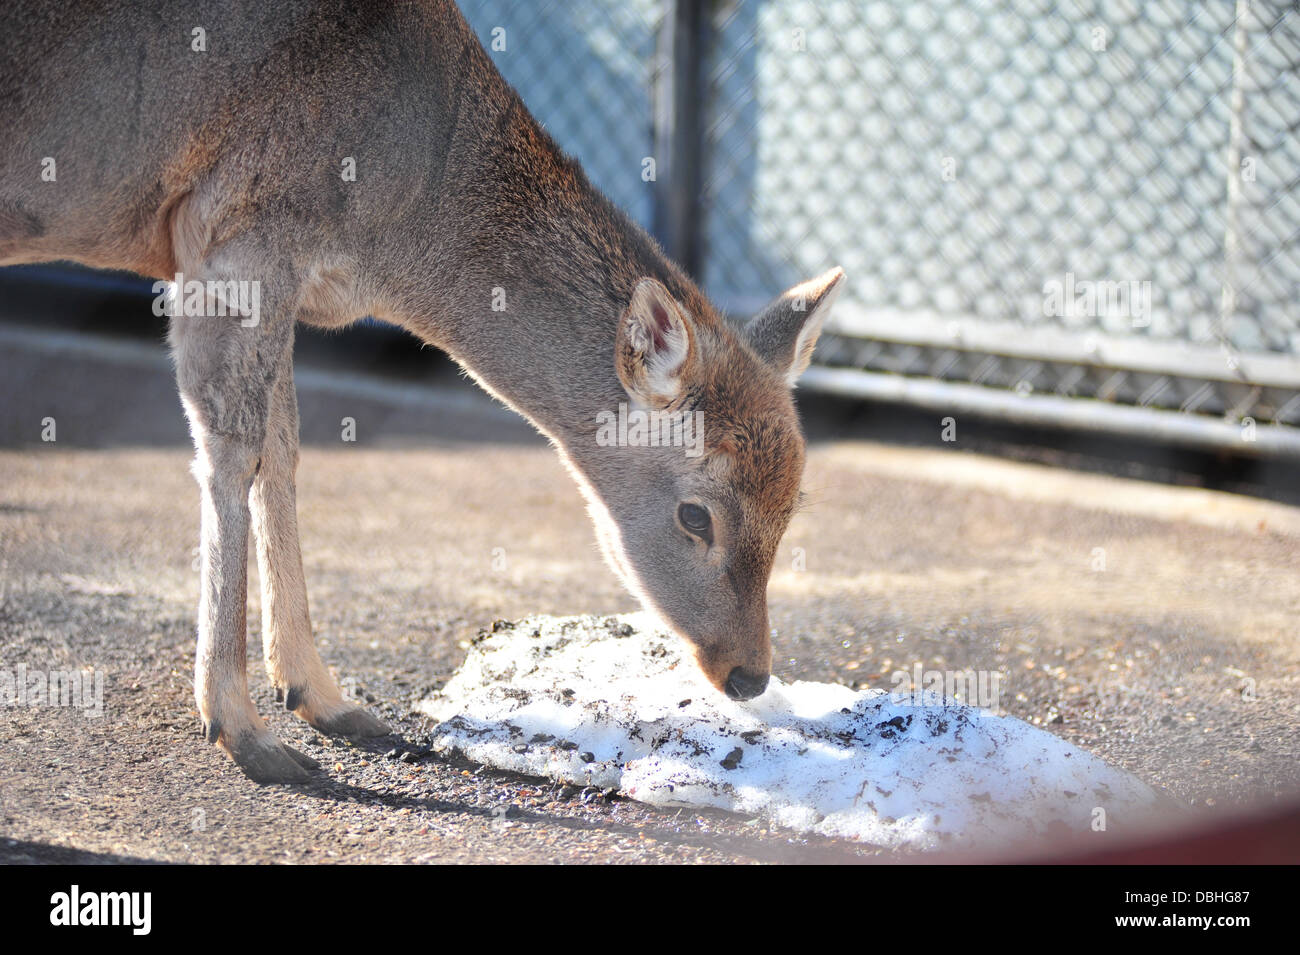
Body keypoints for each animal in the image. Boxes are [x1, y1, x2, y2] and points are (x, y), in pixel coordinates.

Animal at [0, 0, 845, 783]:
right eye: (695, 514)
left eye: (795, 504)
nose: (750, 672)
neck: (398, 235)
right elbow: (231, 455)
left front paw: (323, 695)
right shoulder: (234, 236)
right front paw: (241, 728)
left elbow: (284, 453)